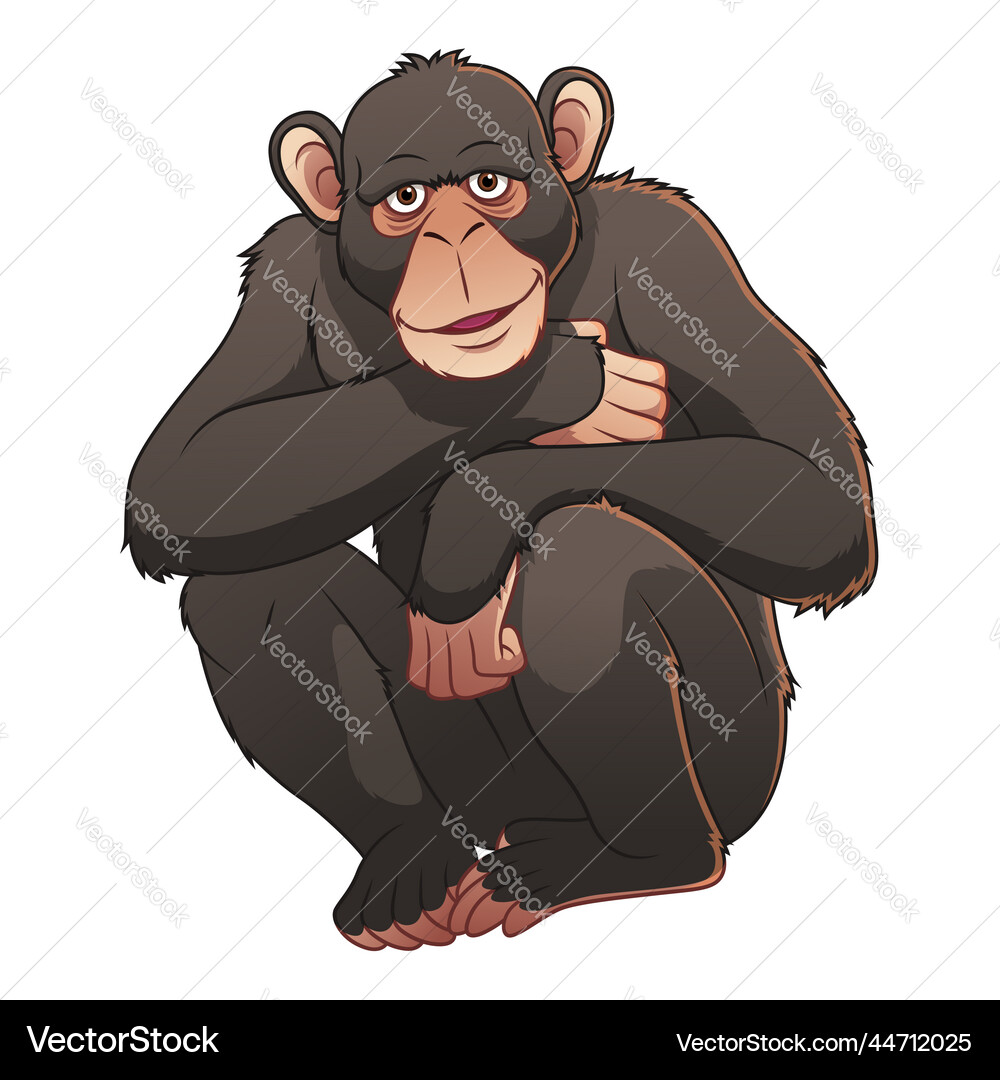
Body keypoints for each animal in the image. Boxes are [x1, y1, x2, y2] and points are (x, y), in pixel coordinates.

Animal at [126, 51, 876, 950]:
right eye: (407, 201)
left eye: (489, 184)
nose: (454, 240)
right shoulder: (283, 273)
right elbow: (185, 477)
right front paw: (558, 381)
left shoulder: (679, 252)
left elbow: (818, 491)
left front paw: (469, 518)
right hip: (472, 784)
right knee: (248, 586)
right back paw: (406, 857)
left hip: (735, 762)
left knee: (589, 553)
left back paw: (628, 862)